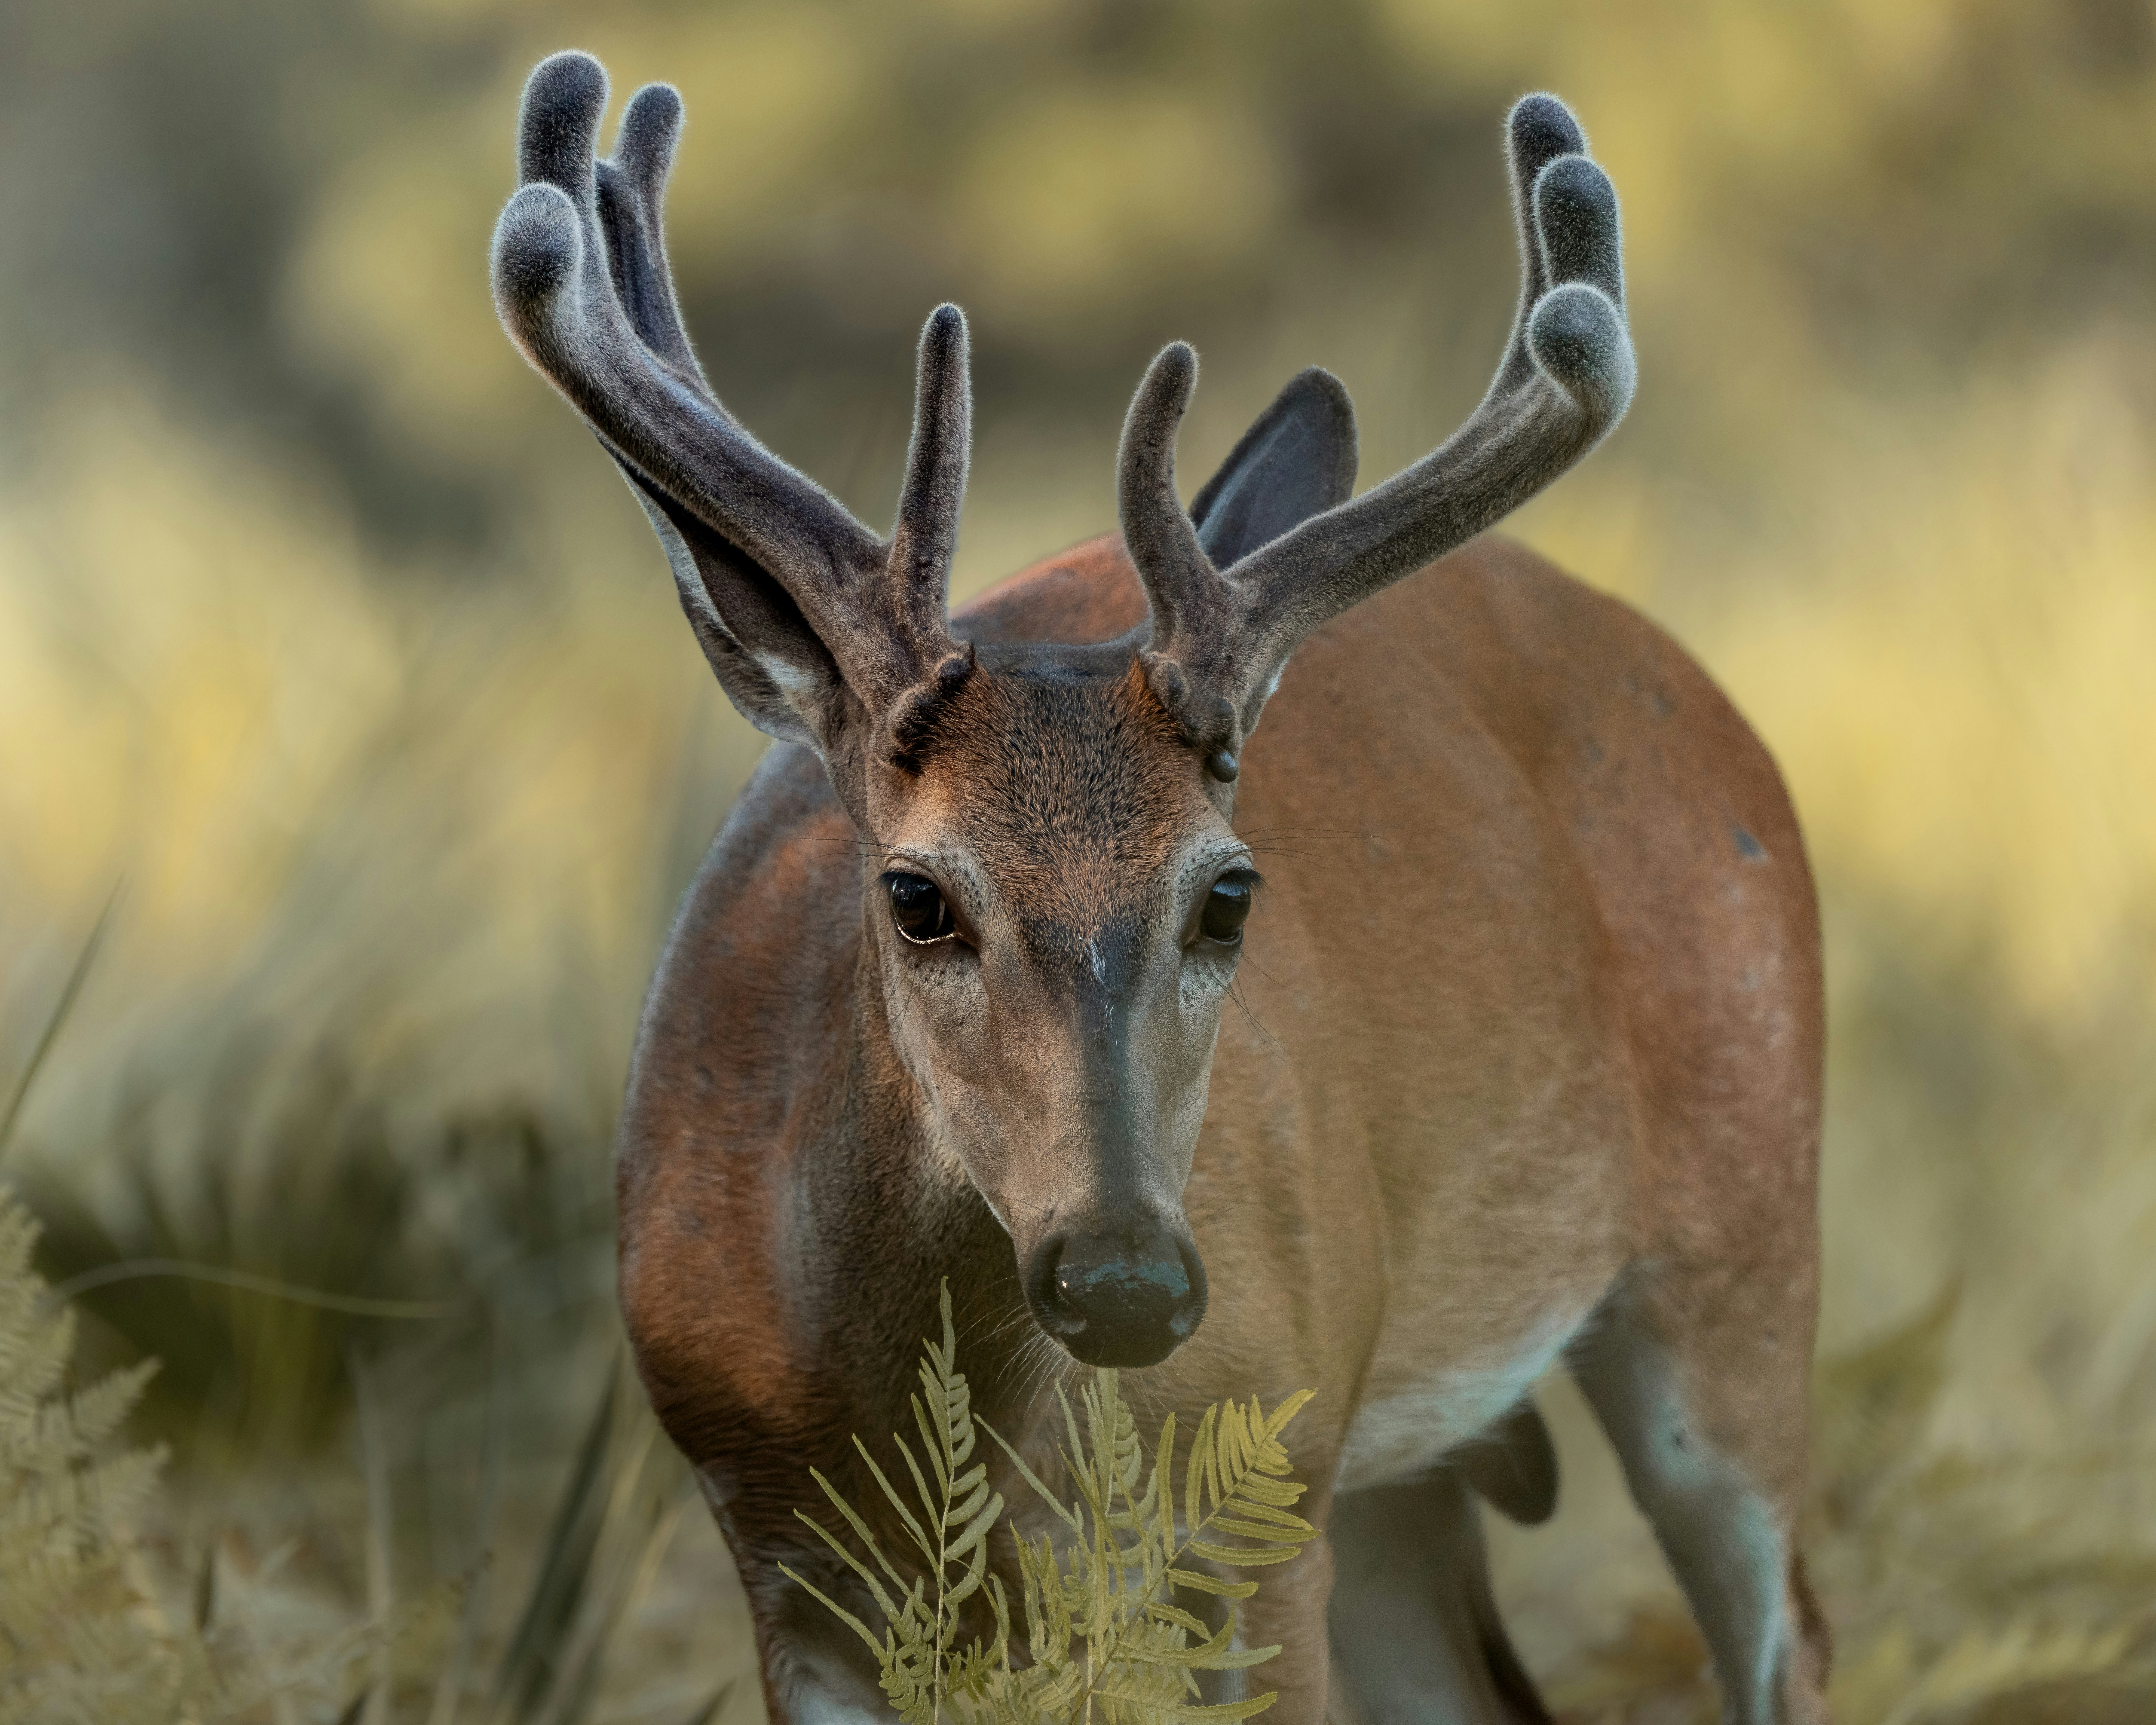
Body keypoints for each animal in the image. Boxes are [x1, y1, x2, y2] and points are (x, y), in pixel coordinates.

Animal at [491, 50, 1830, 1725]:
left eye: (1226, 892)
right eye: (915, 892)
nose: (1126, 1277)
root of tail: (1705, 699)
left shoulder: (1256, 1485)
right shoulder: (782, 1567)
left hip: (1731, 1253)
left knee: (1793, 1630)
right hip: (1393, 1479)